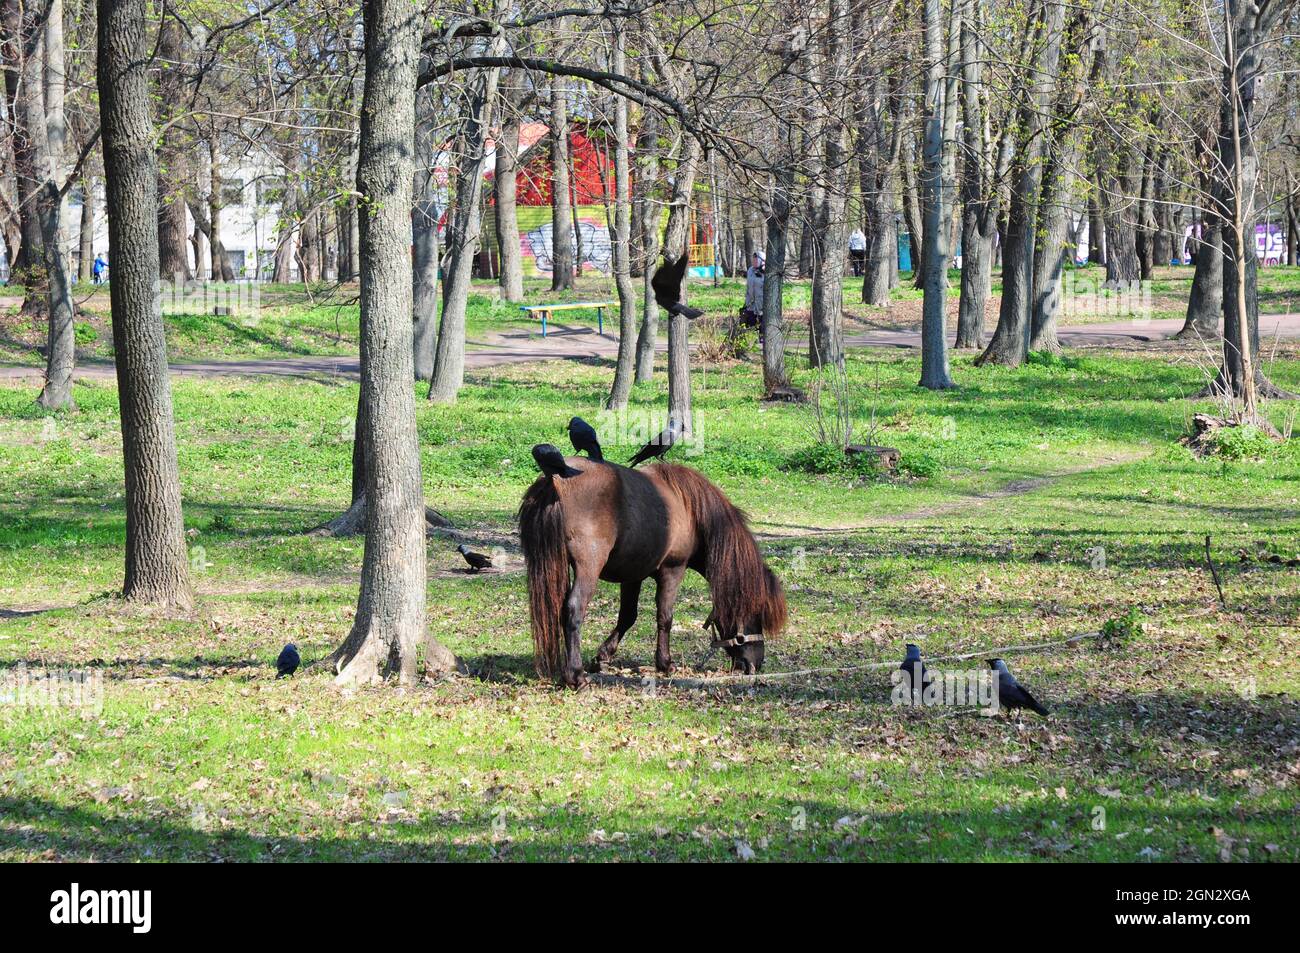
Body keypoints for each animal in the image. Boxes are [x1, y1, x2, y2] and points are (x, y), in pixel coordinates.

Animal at [518, 454, 787, 688]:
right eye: (756, 612)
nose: (754, 665)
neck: (689, 508)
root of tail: (555, 479)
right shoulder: (672, 570)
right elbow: (665, 617)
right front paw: (665, 663)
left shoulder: (632, 575)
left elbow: (627, 616)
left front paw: (603, 657)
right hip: (587, 569)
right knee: (573, 610)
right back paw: (575, 675)